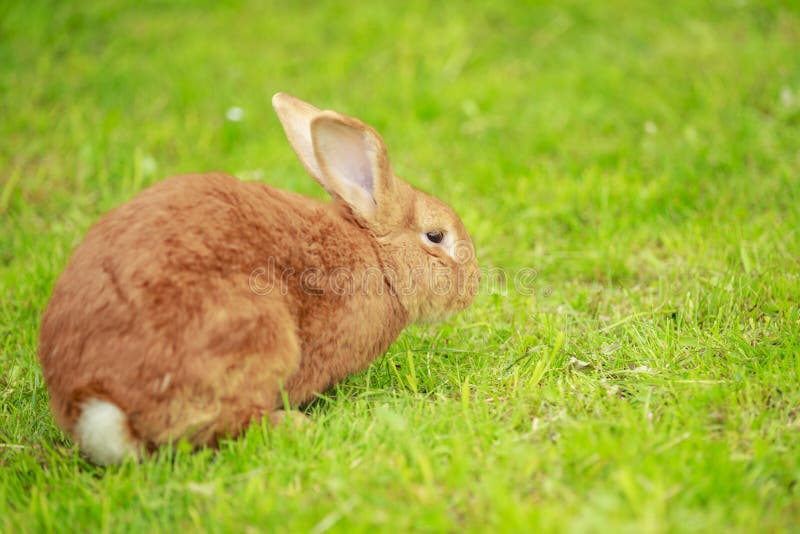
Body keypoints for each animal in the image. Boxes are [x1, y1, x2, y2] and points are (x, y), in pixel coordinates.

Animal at [38, 93, 479, 465]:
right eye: (436, 237)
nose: (472, 287)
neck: (377, 256)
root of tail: (96, 402)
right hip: (251, 332)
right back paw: (296, 425)